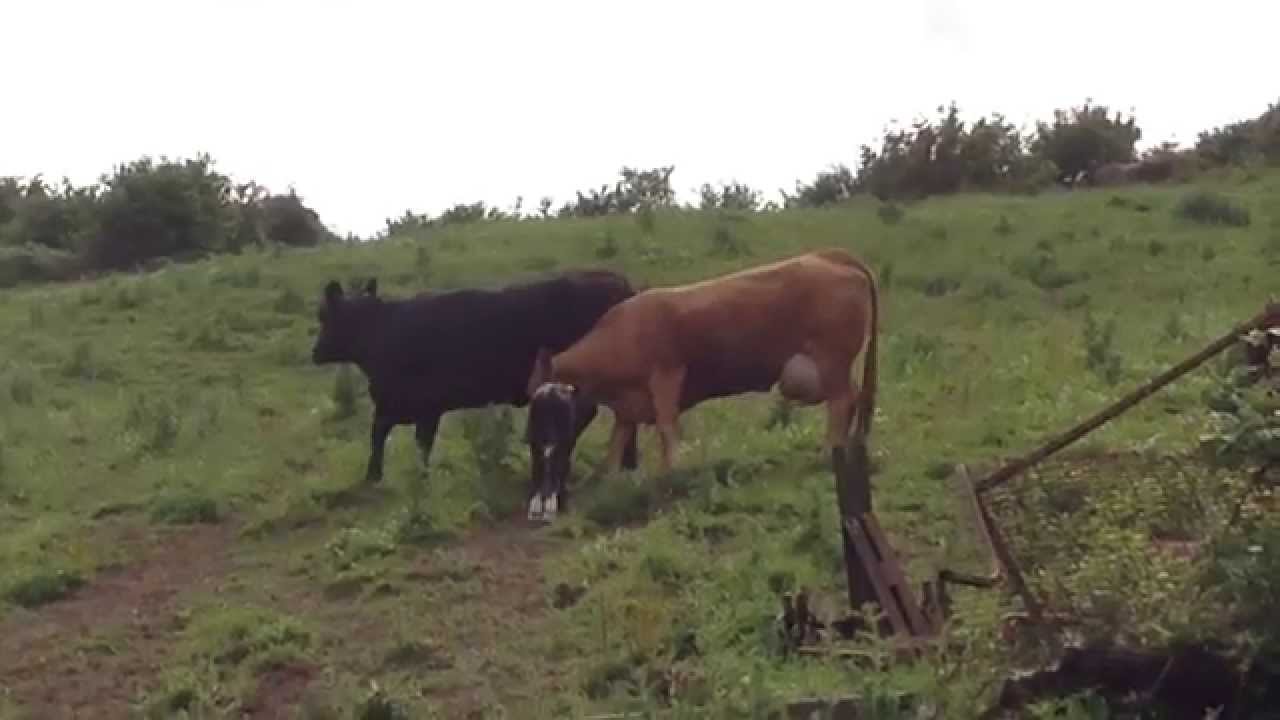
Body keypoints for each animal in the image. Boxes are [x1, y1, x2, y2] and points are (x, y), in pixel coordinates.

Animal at [309, 270, 640, 495]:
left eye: (325, 316)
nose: (315, 352)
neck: (383, 331)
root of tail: (616, 281)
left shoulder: (421, 406)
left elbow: (401, 439)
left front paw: (388, 477)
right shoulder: (400, 405)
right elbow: (390, 436)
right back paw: (628, 464)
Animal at [523, 247, 879, 521]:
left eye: (552, 409)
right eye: (534, 409)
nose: (544, 444)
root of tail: (831, 256)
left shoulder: (667, 375)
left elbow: (667, 428)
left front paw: (671, 475)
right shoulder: (627, 408)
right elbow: (615, 447)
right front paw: (611, 484)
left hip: (831, 361)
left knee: (842, 402)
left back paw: (827, 452)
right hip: (834, 367)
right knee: (853, 397)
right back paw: (846, 445)